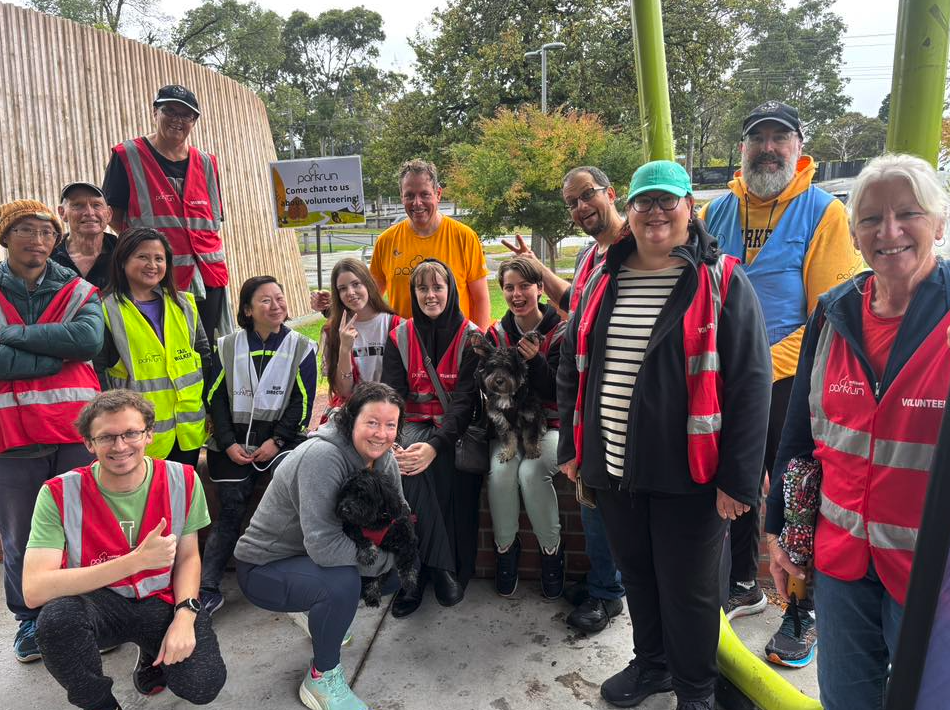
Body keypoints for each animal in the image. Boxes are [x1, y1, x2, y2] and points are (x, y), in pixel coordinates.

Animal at [335, 469, 419, 607]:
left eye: (361, 494)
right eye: (345, 493)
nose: (344, 509)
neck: (374, 522)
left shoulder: (406, 535)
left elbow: (406, 558)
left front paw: (409, 579)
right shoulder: (351, 527)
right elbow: (361, 538)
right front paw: (368, 552)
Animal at [470, 332, 547, 463]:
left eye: (509, 367)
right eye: (493, 366)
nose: (499, 381)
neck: (506, 395)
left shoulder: (530, 417)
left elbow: (530, 437)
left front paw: (532, 451)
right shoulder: (501, 420)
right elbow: (508, 439)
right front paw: (508, 453)